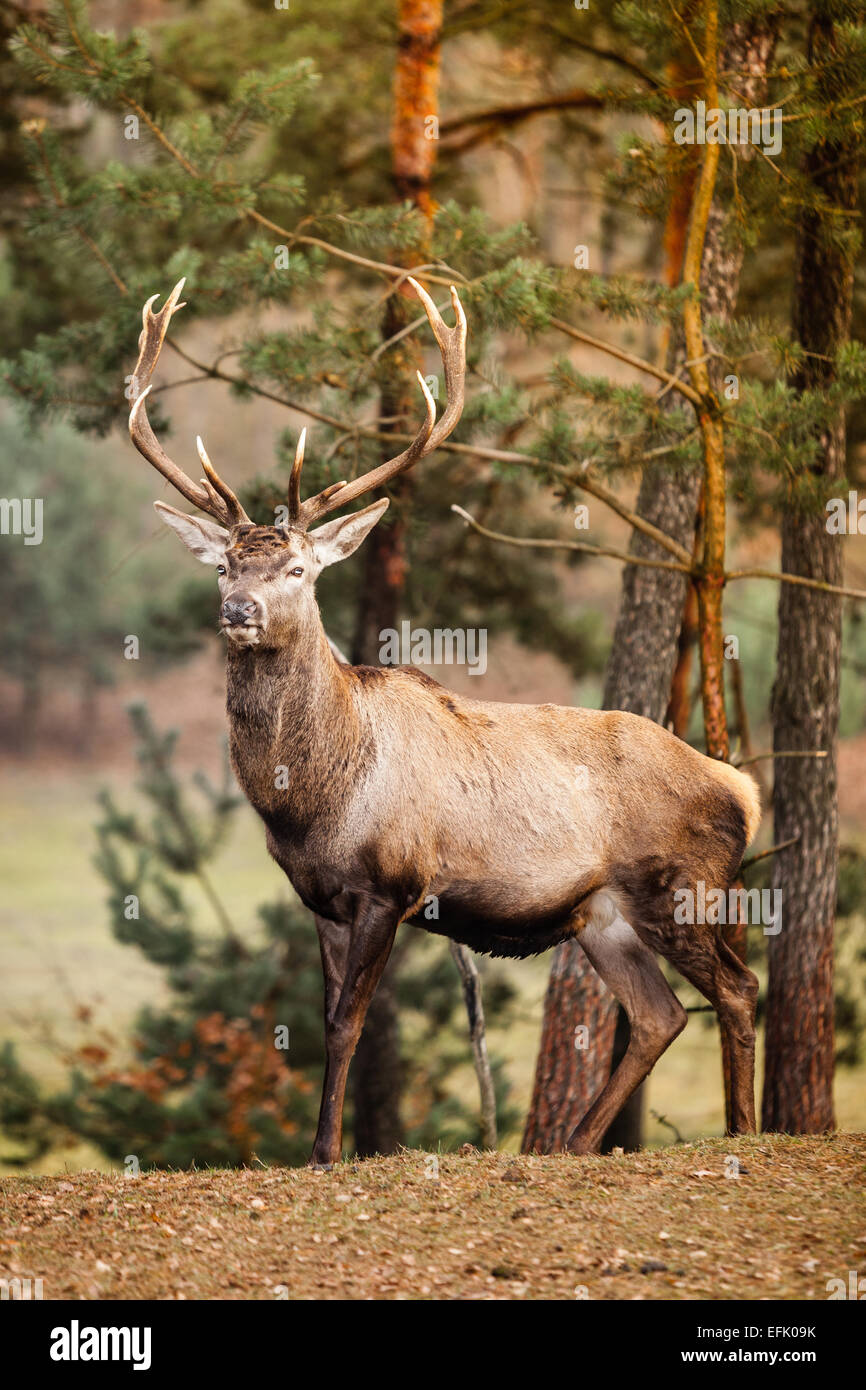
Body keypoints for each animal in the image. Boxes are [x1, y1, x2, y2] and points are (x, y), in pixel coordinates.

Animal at [129, 278, 762, 1169]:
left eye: (298, 568)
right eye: (223, 564)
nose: (238, 610)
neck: (309, 801)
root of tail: (741, 786)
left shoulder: (389, 884)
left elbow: (348, 1020)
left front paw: (327, 1152)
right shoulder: (318, 898)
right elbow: (328, 1021)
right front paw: (321, 1145)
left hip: (685, 884)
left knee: (737, 989)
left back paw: (744, 1130)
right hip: (604, 916)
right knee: (659, 1014)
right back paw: (570, 1143)